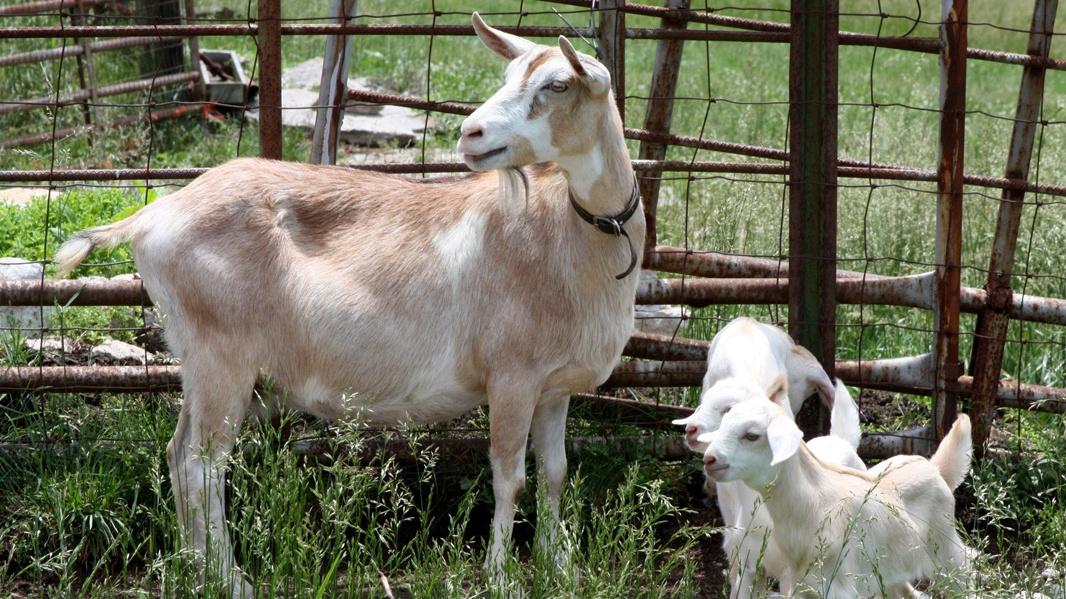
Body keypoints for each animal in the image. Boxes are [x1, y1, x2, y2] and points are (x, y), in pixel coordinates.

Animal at [54, 14, 643, 595]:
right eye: (508, 77)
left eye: (557, 84)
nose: (471, 133)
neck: (566, 236)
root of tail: (153, 215)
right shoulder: (512, 377)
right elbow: (510, 477)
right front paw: (500, 579)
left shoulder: (554, 388)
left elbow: (555, 473)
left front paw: (557, 566)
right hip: (222, 360)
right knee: (205, 465)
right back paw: (230, 578)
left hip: (202, 367)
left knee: (179, 456)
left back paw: (192, 568)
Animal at [699, 398, 975, 598]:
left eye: (752, 435)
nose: (709, 459)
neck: (814, 504)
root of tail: (935, 468)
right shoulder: (800, 585)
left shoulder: (838, 585)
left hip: (947, 549)